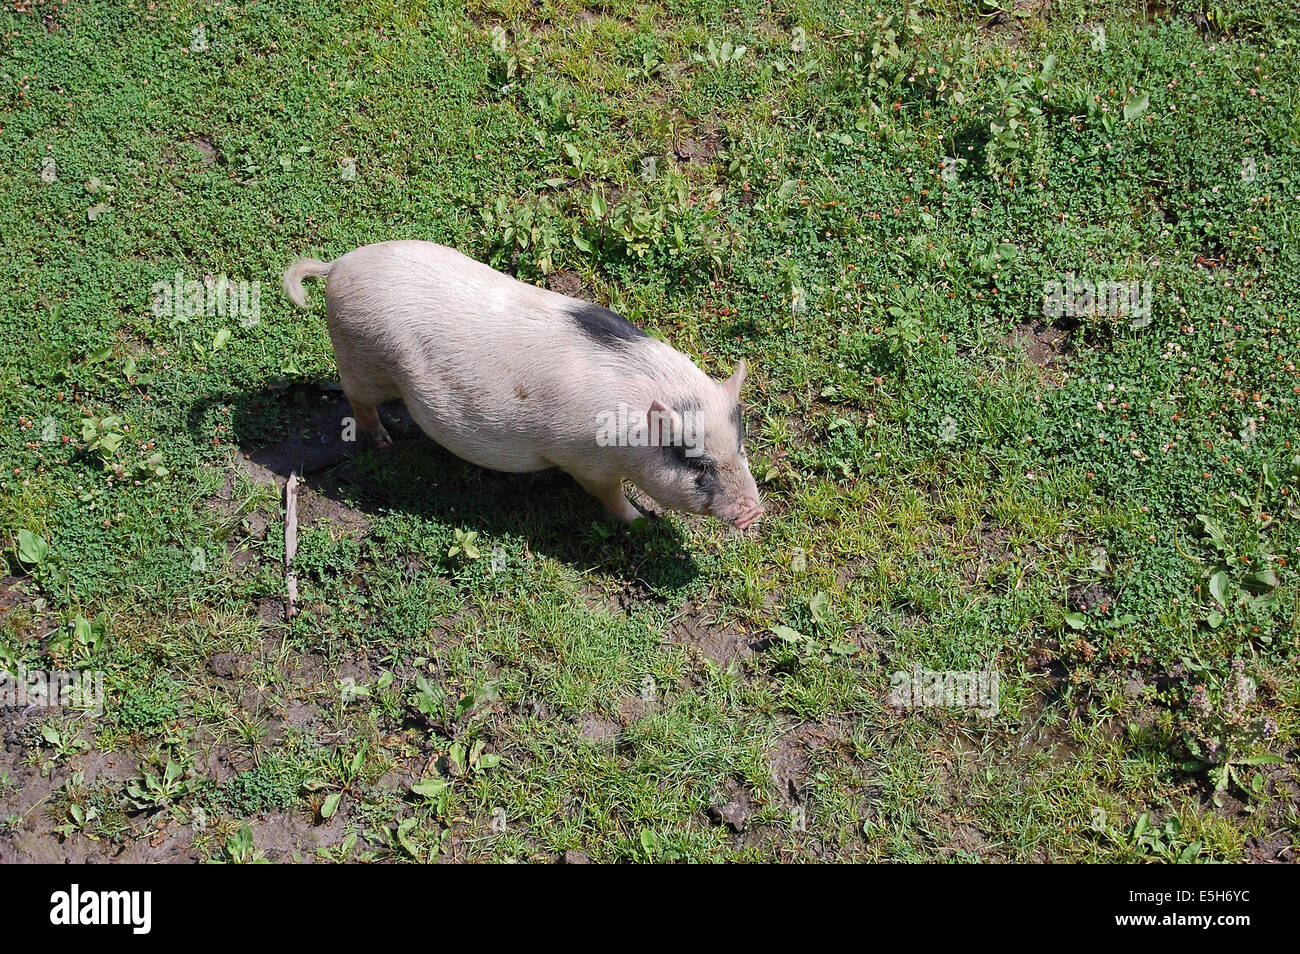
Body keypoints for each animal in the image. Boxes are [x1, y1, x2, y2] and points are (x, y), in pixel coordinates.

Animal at [282, 241, 763, 530]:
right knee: (356, 400)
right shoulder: (586, 461)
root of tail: (337, 266)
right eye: (697, 465)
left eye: (741, 448)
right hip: (361, 358)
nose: (754, 511)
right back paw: (383, 442)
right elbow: (609, 497)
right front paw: (641, 521)